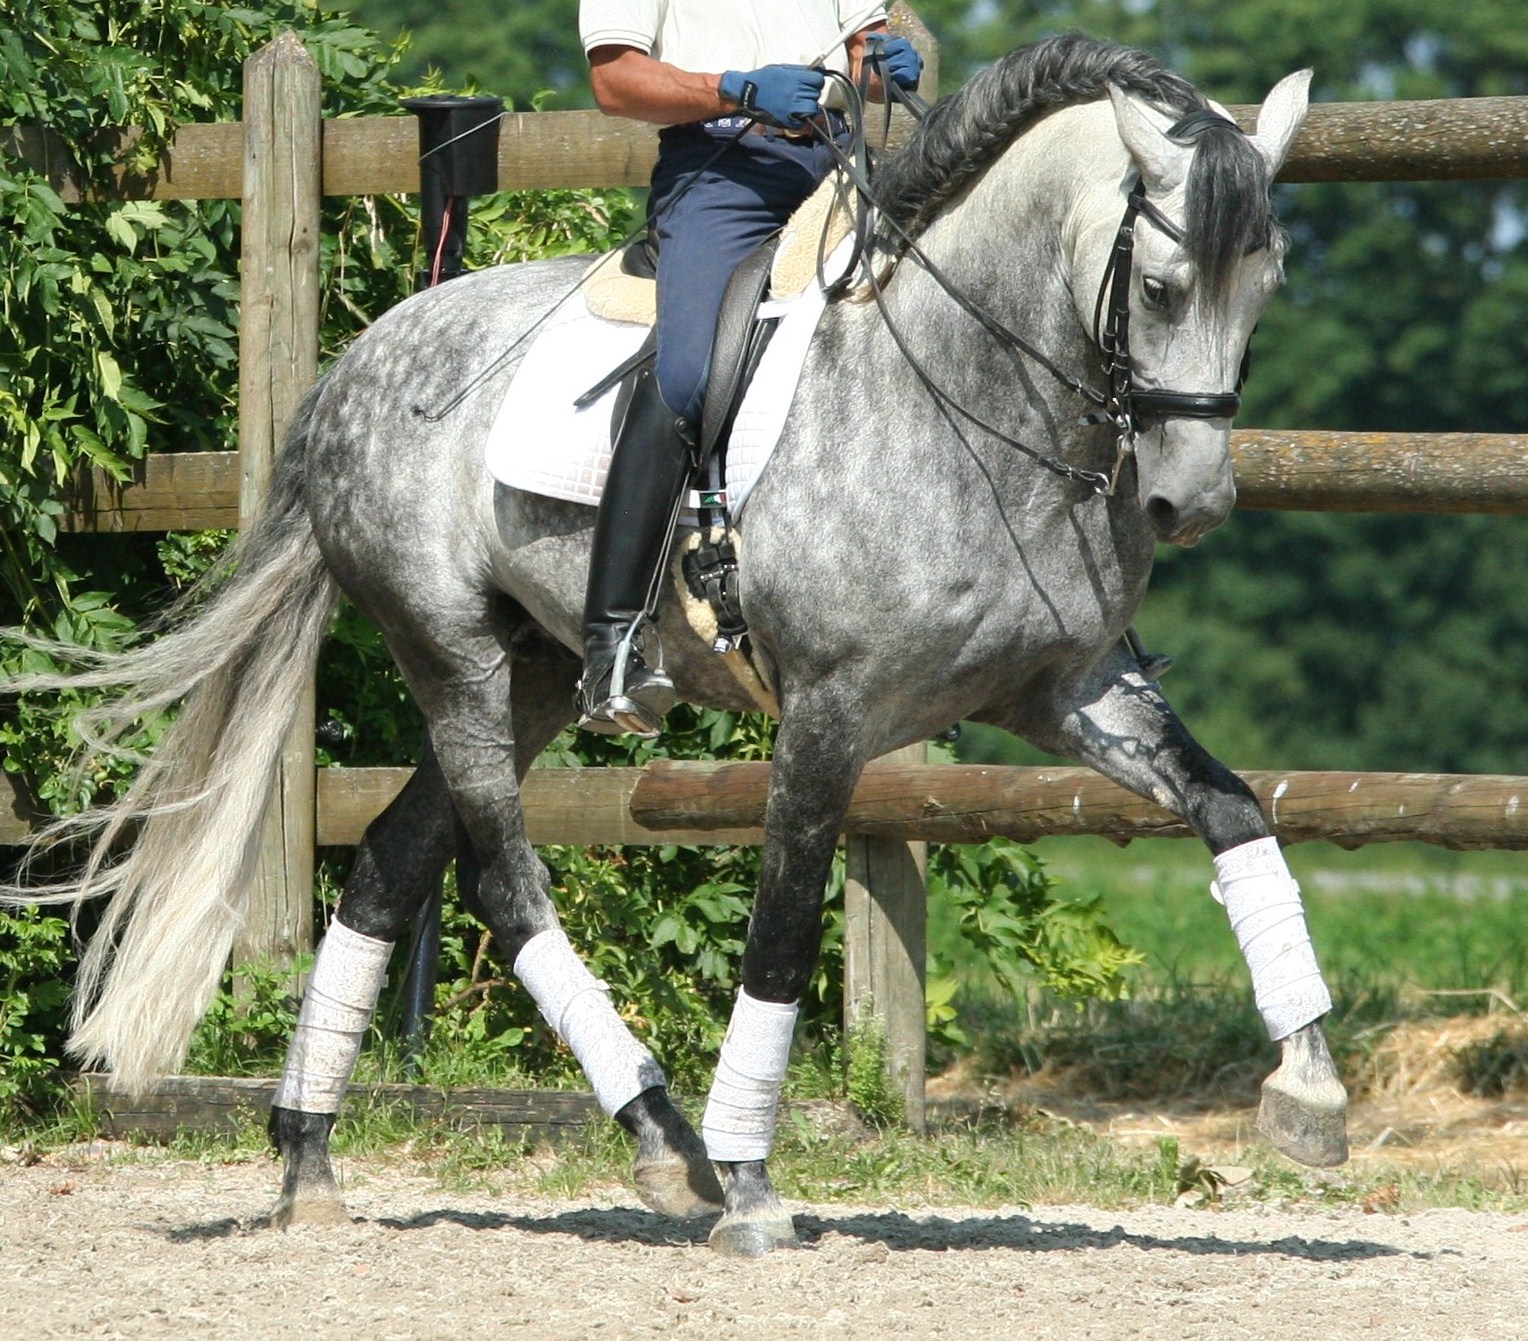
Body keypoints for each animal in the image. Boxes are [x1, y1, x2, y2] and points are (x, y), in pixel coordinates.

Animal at [4, 34, 1347, 1257]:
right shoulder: (830, 717)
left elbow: (1234, 813)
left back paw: (308, 1162)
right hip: (451, 657)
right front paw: (752, 1187)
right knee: (504, 884)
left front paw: (1309, 1095)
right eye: (1162, 287)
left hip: (530, 674)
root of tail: (355, 363)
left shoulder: (1070, 689)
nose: (1189, 504)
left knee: (389, 863)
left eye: (1265, 285)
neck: (972, 398)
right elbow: (784, 932)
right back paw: (668, 1144)